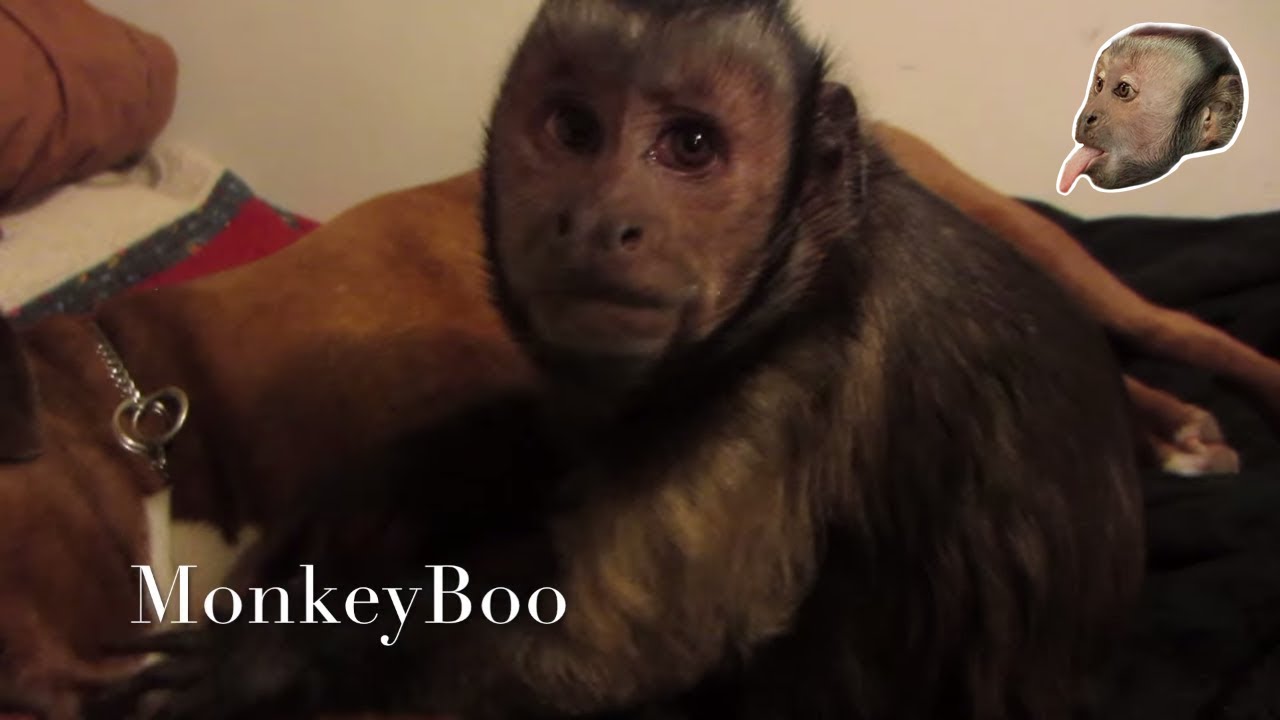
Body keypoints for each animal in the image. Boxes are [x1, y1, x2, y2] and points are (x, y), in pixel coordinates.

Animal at [88, 1, 1145, 719]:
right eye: (574, 130)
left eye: (690, 145)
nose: (599, 220)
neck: (801, 281)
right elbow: (549, 440)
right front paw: (339, 530)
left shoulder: (786, 395)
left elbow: (608, 654)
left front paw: (276, 664)